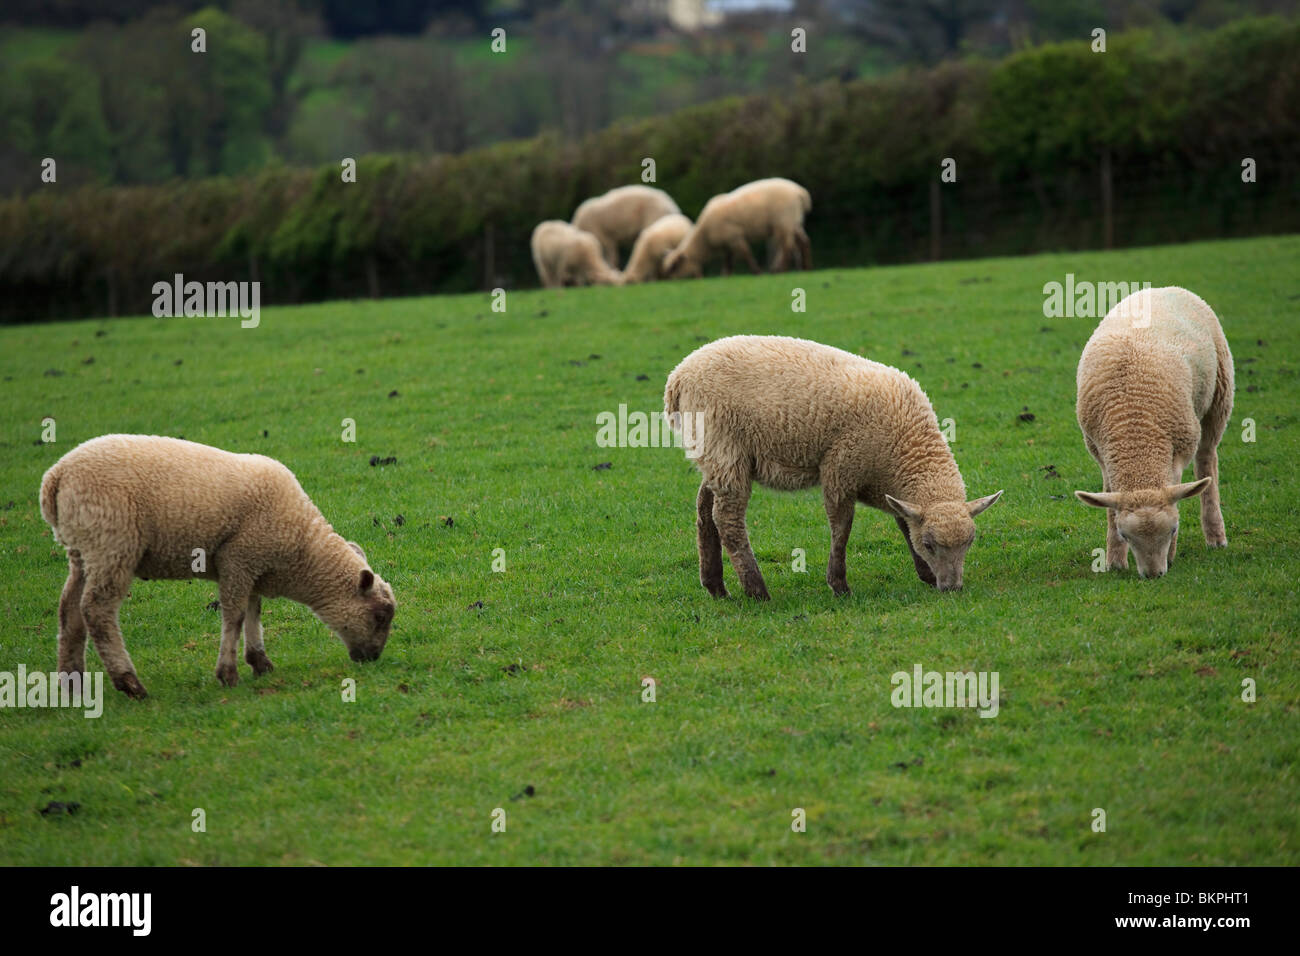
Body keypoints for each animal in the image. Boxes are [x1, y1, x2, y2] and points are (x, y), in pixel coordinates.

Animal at [39, 434, 396, 699]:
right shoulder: (238, 559)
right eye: (380, 616)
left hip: (84, 550)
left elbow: (253, 611)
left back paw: (72, 683)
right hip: (112, 543)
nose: (373, 658)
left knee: (70, 610)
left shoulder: (252, 564)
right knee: (97, 611)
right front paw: (228, 673)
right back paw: (129, 683)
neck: (302, 548)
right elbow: (234, 616)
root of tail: (56, 477)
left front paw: (260, 662)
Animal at [662, 178, 811, 279]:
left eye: (674, 267)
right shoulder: (727, 244)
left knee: (787, 245)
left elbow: (746, 253)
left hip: (784, 221)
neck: (703, 239)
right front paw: (725, 275)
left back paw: (781, 270)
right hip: (794, 222)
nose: (669, 281)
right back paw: (805, 268)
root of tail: (800, 192)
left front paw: (757, 272)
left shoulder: (734, 236)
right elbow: (728, 260)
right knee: (803, 241)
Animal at [664, 335, 1002, 599]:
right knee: (728, 519)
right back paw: (756, 590)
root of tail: (678, 376)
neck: (907, 447)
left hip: (716, 453)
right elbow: (842, 528)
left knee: (704, 509)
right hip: (724, 446)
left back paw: (715, 586)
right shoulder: (841, 468)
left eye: (970, 542)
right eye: (931, 544)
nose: (952, 588)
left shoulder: (888, 487)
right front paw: (839, 585)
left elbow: (903, 524)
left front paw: (926, 576)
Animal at [1074, 286, 1234, 579]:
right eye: (1125, 535)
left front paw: (1170, 556)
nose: (1153, 575)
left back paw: (1216, 536)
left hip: (1219, 395)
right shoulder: (1100, 452)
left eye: (1173, 530)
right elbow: (1109, 505)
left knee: (1207, 460)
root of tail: (1166, 288)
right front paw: (1114, 562)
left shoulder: (1179, 447)